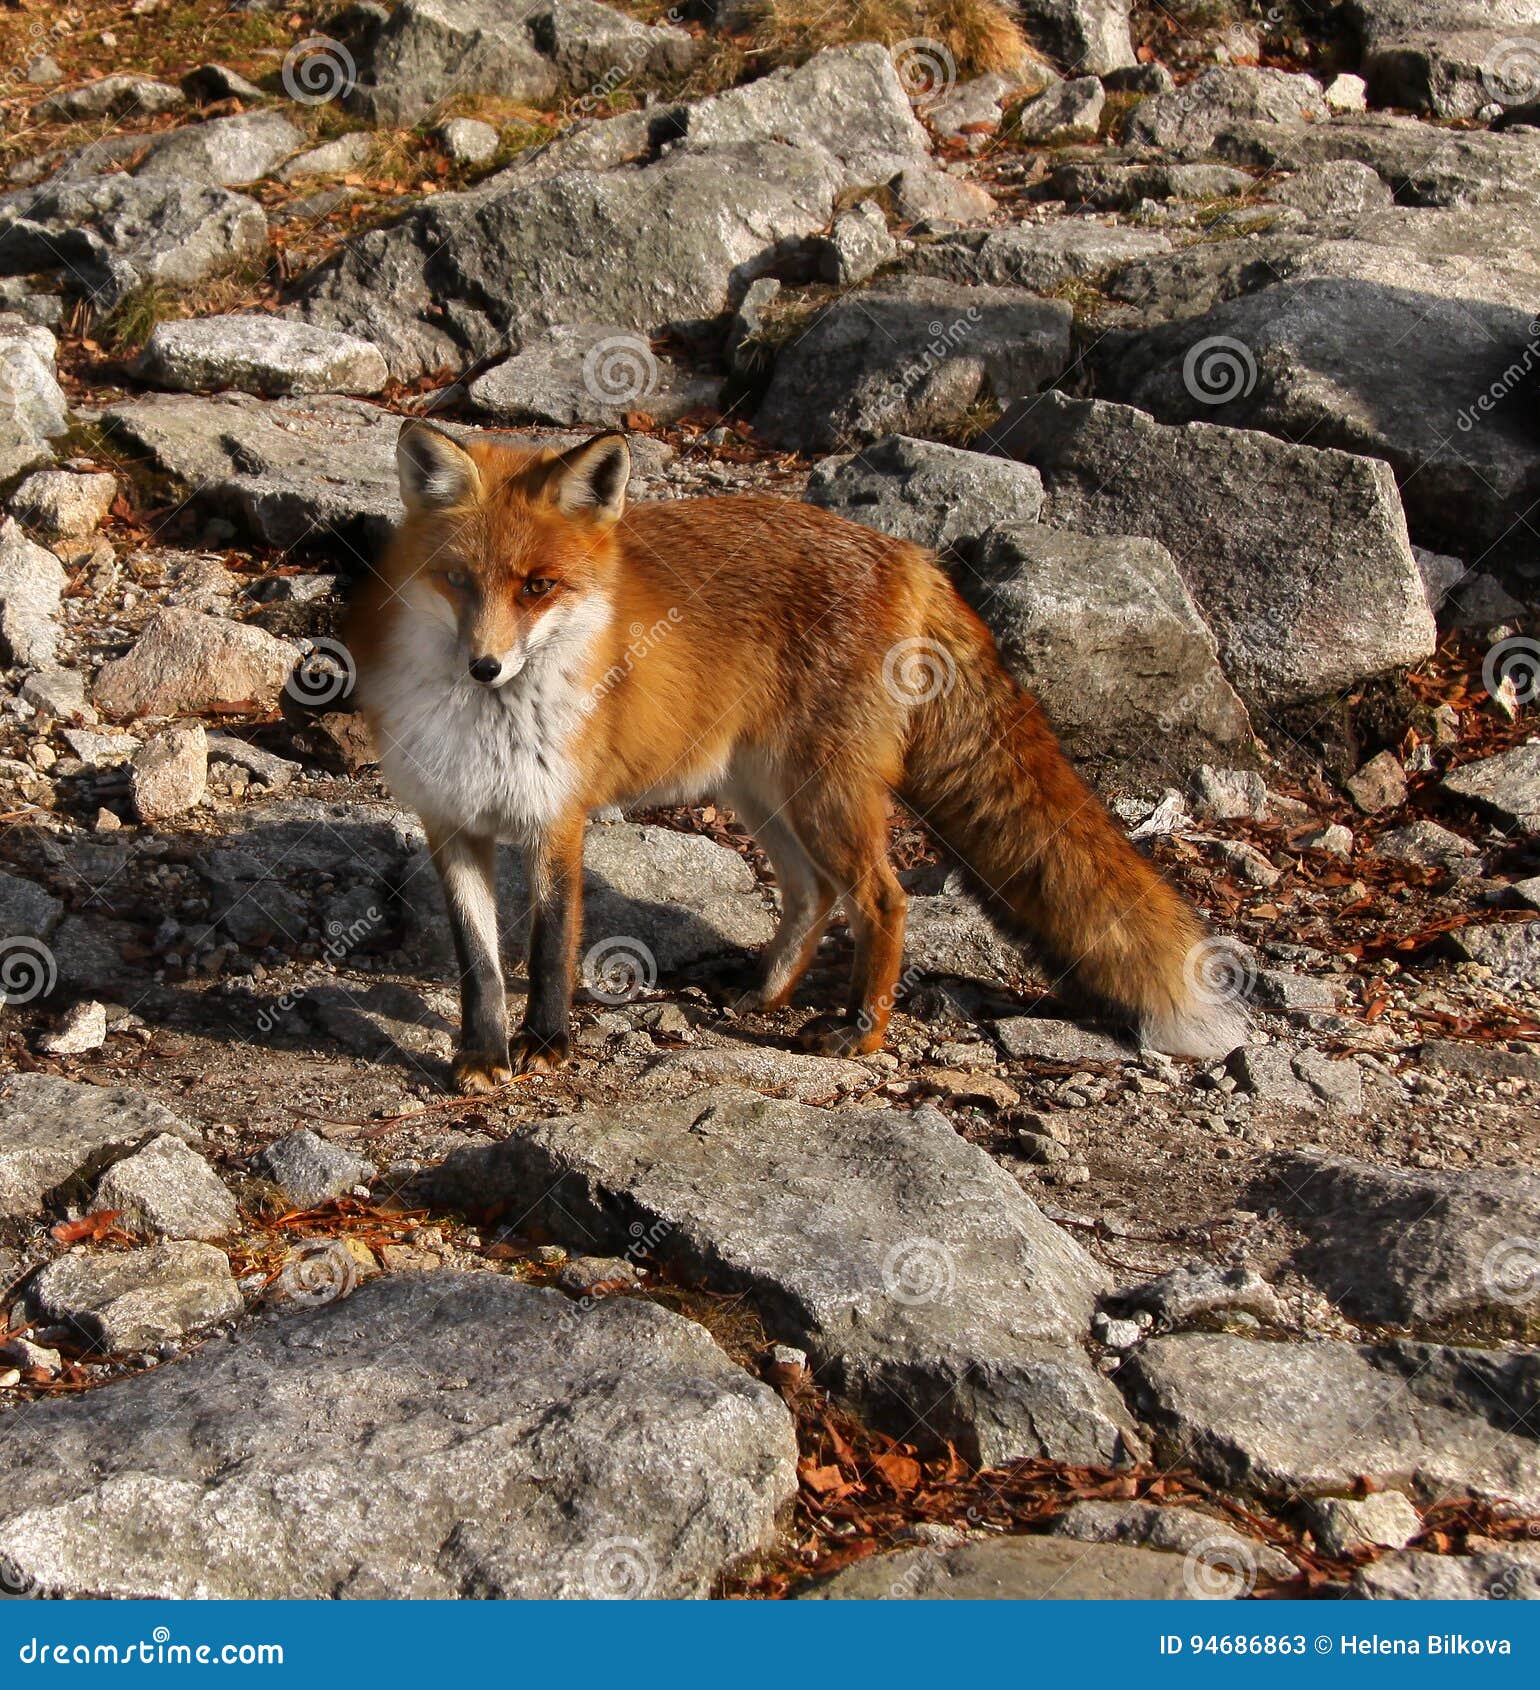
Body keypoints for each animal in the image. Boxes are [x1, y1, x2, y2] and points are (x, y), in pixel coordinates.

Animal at [344, 420, 1250, 1094]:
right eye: (458, 581)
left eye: (538, 587)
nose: (485, 667)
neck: (486, 727)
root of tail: (909, 554)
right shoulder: (451, 822)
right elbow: (479, 963)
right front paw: (480, 1053)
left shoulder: (556, 819)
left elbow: (549, 945)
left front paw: (546, 1044)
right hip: (762, 790)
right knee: (814, 893)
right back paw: (767, 990)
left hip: (825, 793)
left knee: (882, 898)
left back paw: (859, 1031)